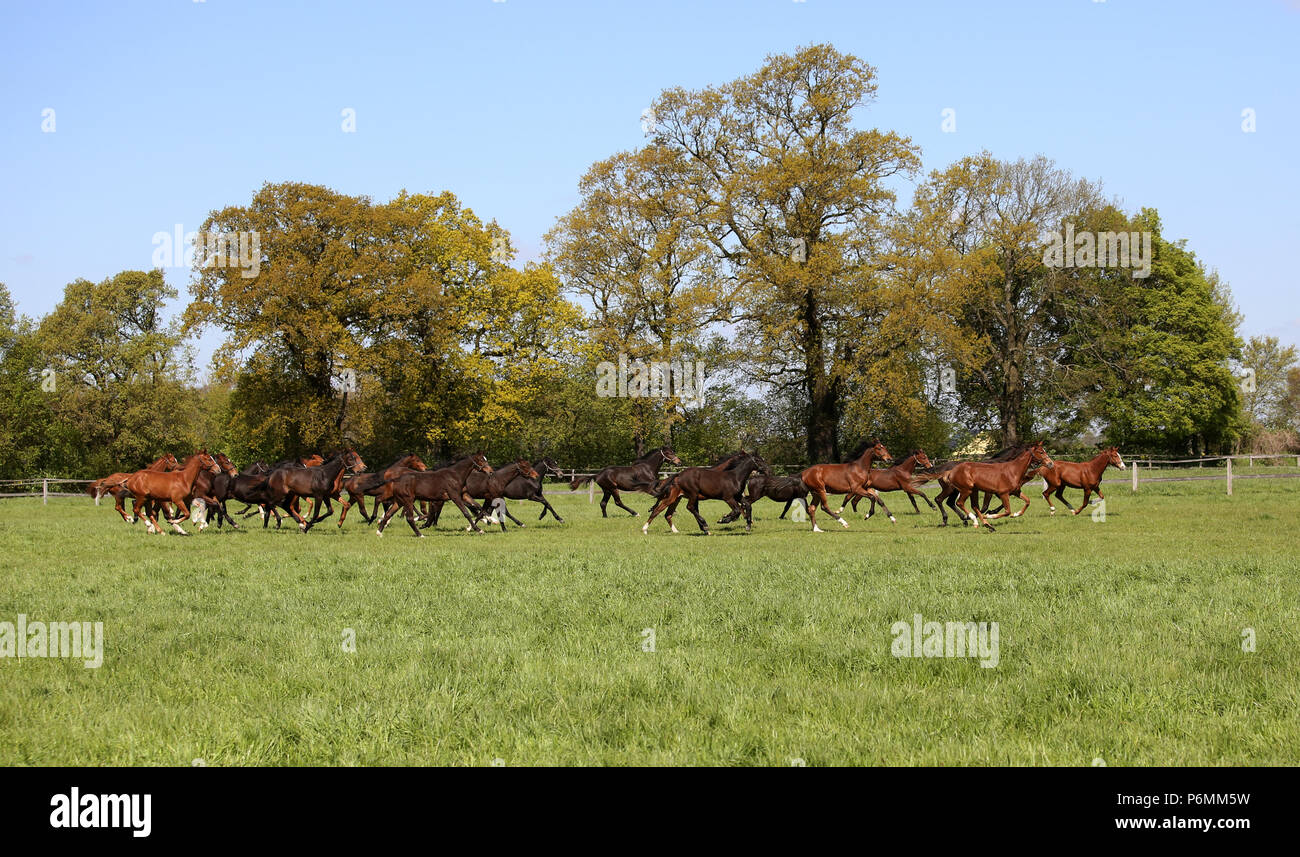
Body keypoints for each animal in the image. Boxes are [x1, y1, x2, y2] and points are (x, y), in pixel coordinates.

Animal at [642, 451, 771, 535]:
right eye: (759, 460)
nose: (768, 470)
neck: (735, 477)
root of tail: (678, 475)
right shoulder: (728, 498)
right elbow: (737, 510)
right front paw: (723, 520)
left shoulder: (738, 496)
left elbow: (747, 506)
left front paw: (748, 525)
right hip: (692, 494)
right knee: (687, 507)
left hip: (675, 498)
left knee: (665, 513)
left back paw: (674, 530)